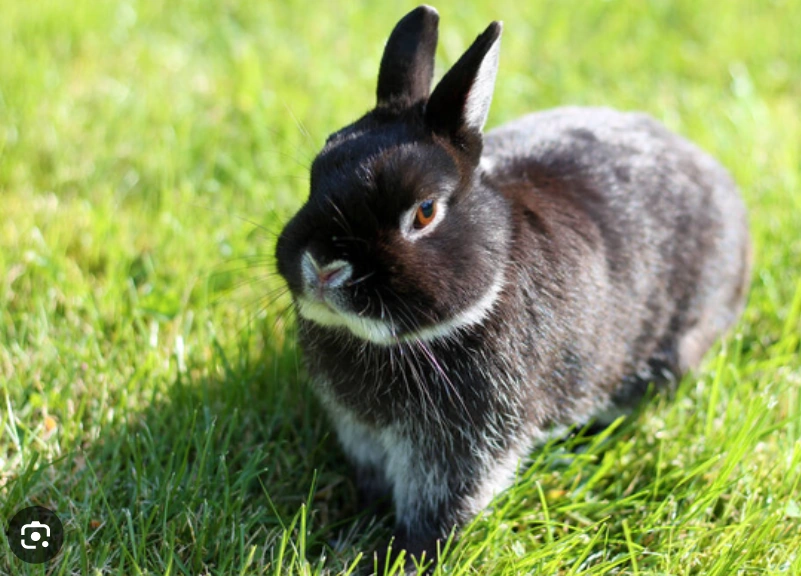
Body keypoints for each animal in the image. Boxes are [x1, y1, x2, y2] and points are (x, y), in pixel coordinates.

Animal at [274, 4, 751, 570]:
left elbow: (439, 510)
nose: (323, 267)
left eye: (425, 212)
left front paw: (401, 557)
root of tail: (721, 183)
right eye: (316, 173)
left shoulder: (462, 448)